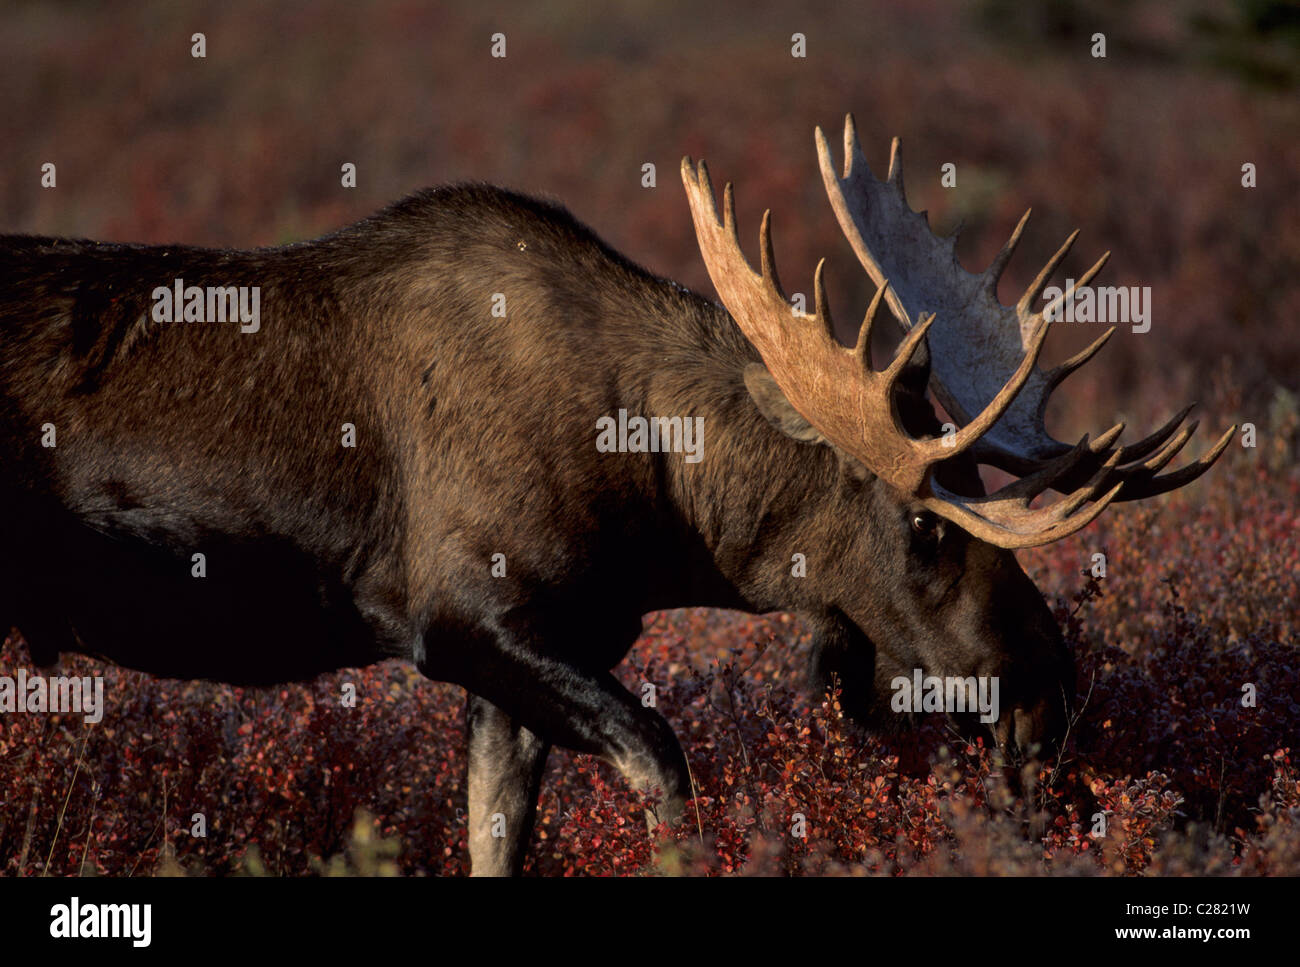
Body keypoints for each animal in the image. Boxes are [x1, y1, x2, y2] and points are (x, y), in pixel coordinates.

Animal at [0, 115, 1232, 875]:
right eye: (925, 523)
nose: (1052, 689)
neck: (664, 504)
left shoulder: (536, 655)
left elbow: (498, 837)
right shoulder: (460, 618)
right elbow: (665, 771)